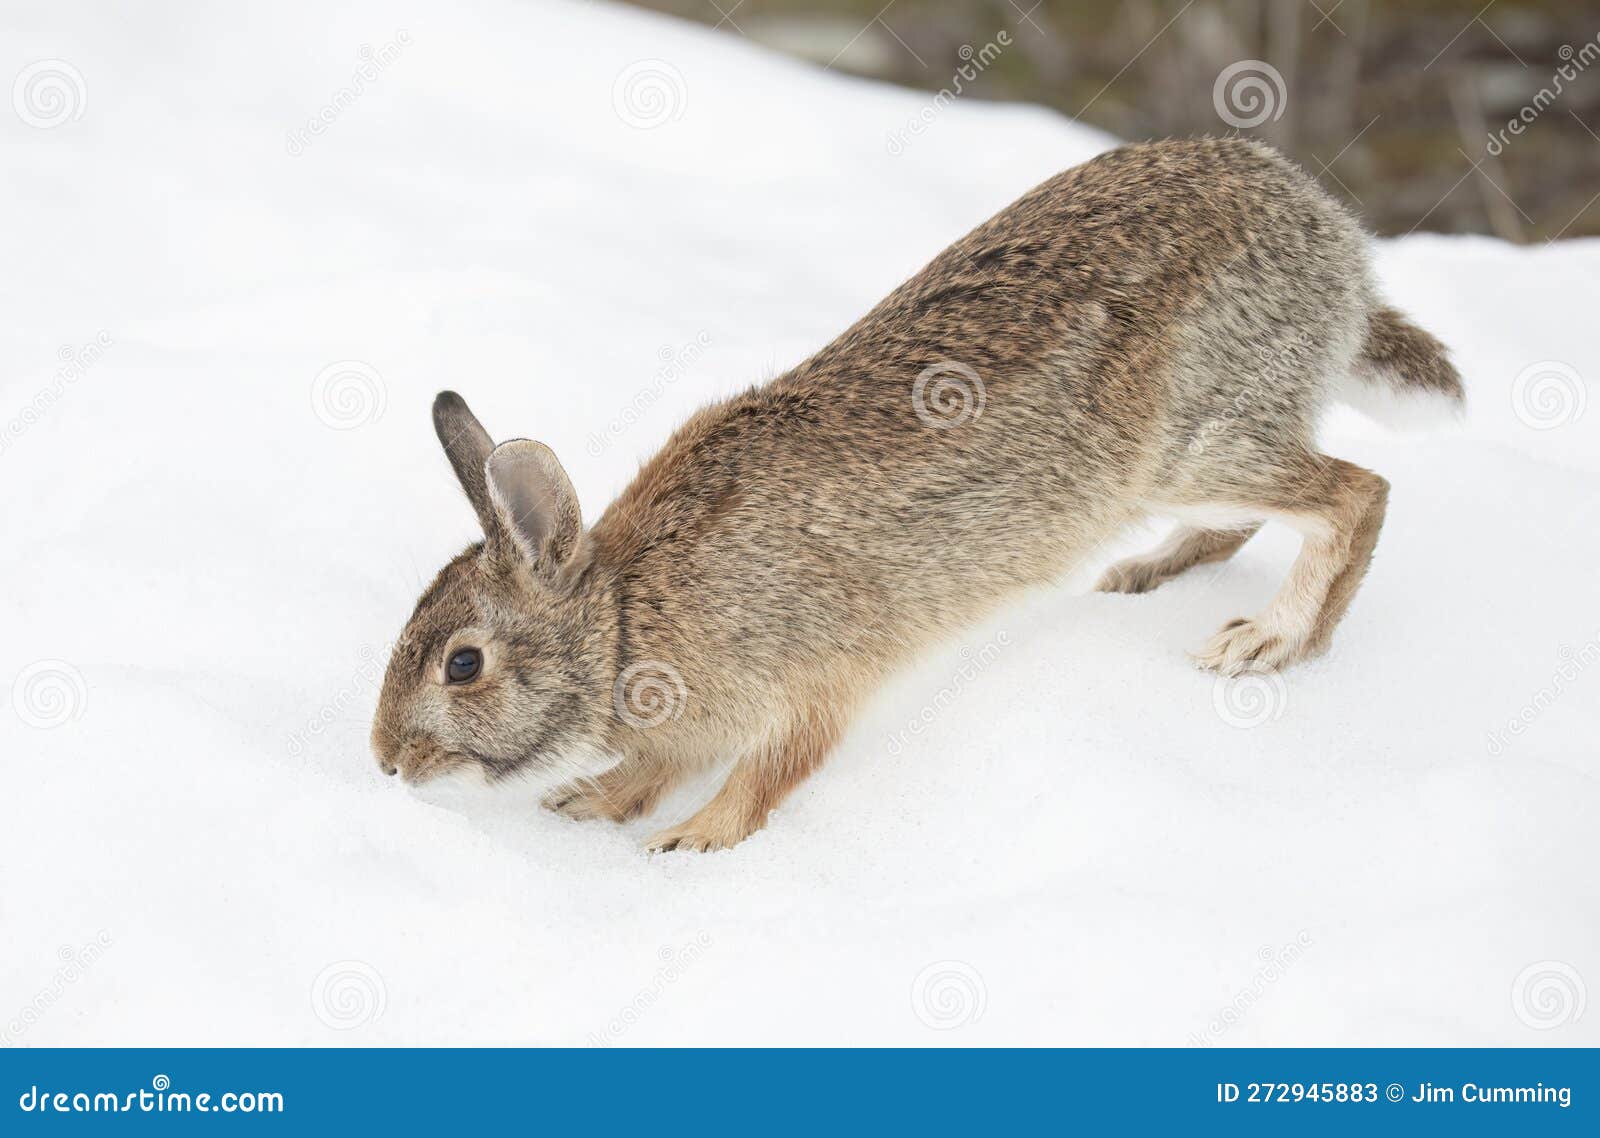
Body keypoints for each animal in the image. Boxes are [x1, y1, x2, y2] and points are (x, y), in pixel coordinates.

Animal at [371, 137, 1462, 852]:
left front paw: (688, 844)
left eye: (463, 664)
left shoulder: (817, 678)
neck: (624, 620)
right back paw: (1139, 578)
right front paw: (590, 806)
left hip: (1194, 445)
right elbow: (653, 765)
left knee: (1357, 492)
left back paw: (1273, 641)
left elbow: (769, 773)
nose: (384, 763)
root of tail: (1339, 251)